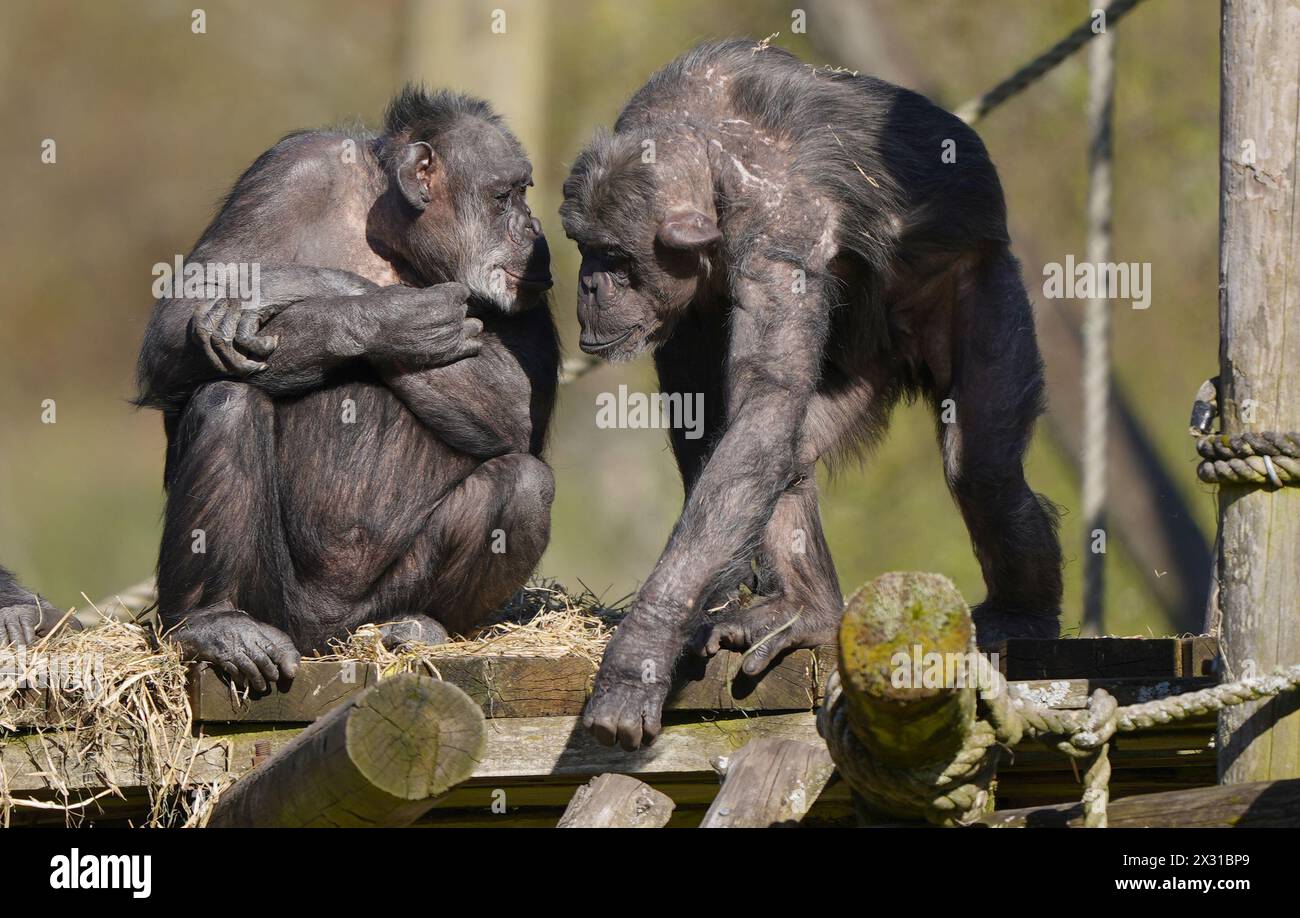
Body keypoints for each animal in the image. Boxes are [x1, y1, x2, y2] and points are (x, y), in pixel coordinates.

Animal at [136, 87, 558, 692]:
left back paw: (421, 626)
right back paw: (212, 624)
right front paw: (384, 313)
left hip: (373, 609)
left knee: (525, 486)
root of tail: (330, 640)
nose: (531, 226)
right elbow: (183, 314)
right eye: (504, 195)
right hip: (278, 605)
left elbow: (518, 400)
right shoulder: (290, 173)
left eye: (523, 192)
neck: (393, 238)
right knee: (225, 398)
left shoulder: (531, 277)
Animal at [560, 40, 1061, 749]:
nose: (588, 284)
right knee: (785, 453)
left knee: (983, 470)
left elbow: (765, 397)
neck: (715, 163)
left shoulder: (782, 235)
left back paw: (1024, 616)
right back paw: (810, 612)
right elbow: (722, 417)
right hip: (863, 366)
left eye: (613, 255)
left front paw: (639, 656)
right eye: (585, 247)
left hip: (985, 281)